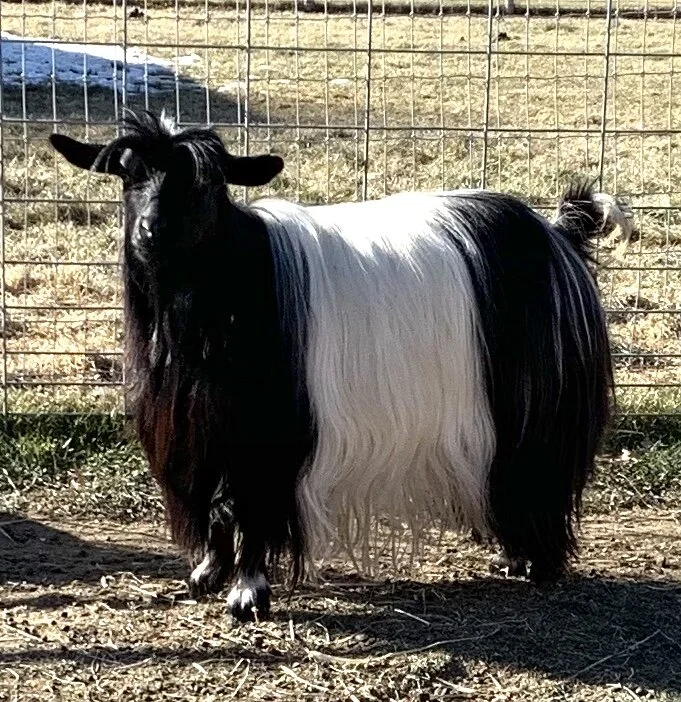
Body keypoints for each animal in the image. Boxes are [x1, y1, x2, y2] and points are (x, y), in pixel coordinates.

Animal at [50, 110, 621, 622]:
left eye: (206, 184)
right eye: (128, 175)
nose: (152, 231)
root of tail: (560, 235)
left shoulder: (269, 436)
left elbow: (250, 504)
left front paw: (248, 593)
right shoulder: (202, 430)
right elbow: (217, 506)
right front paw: (207, 574)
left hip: (540, 409)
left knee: (538, 475)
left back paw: (533, 564)